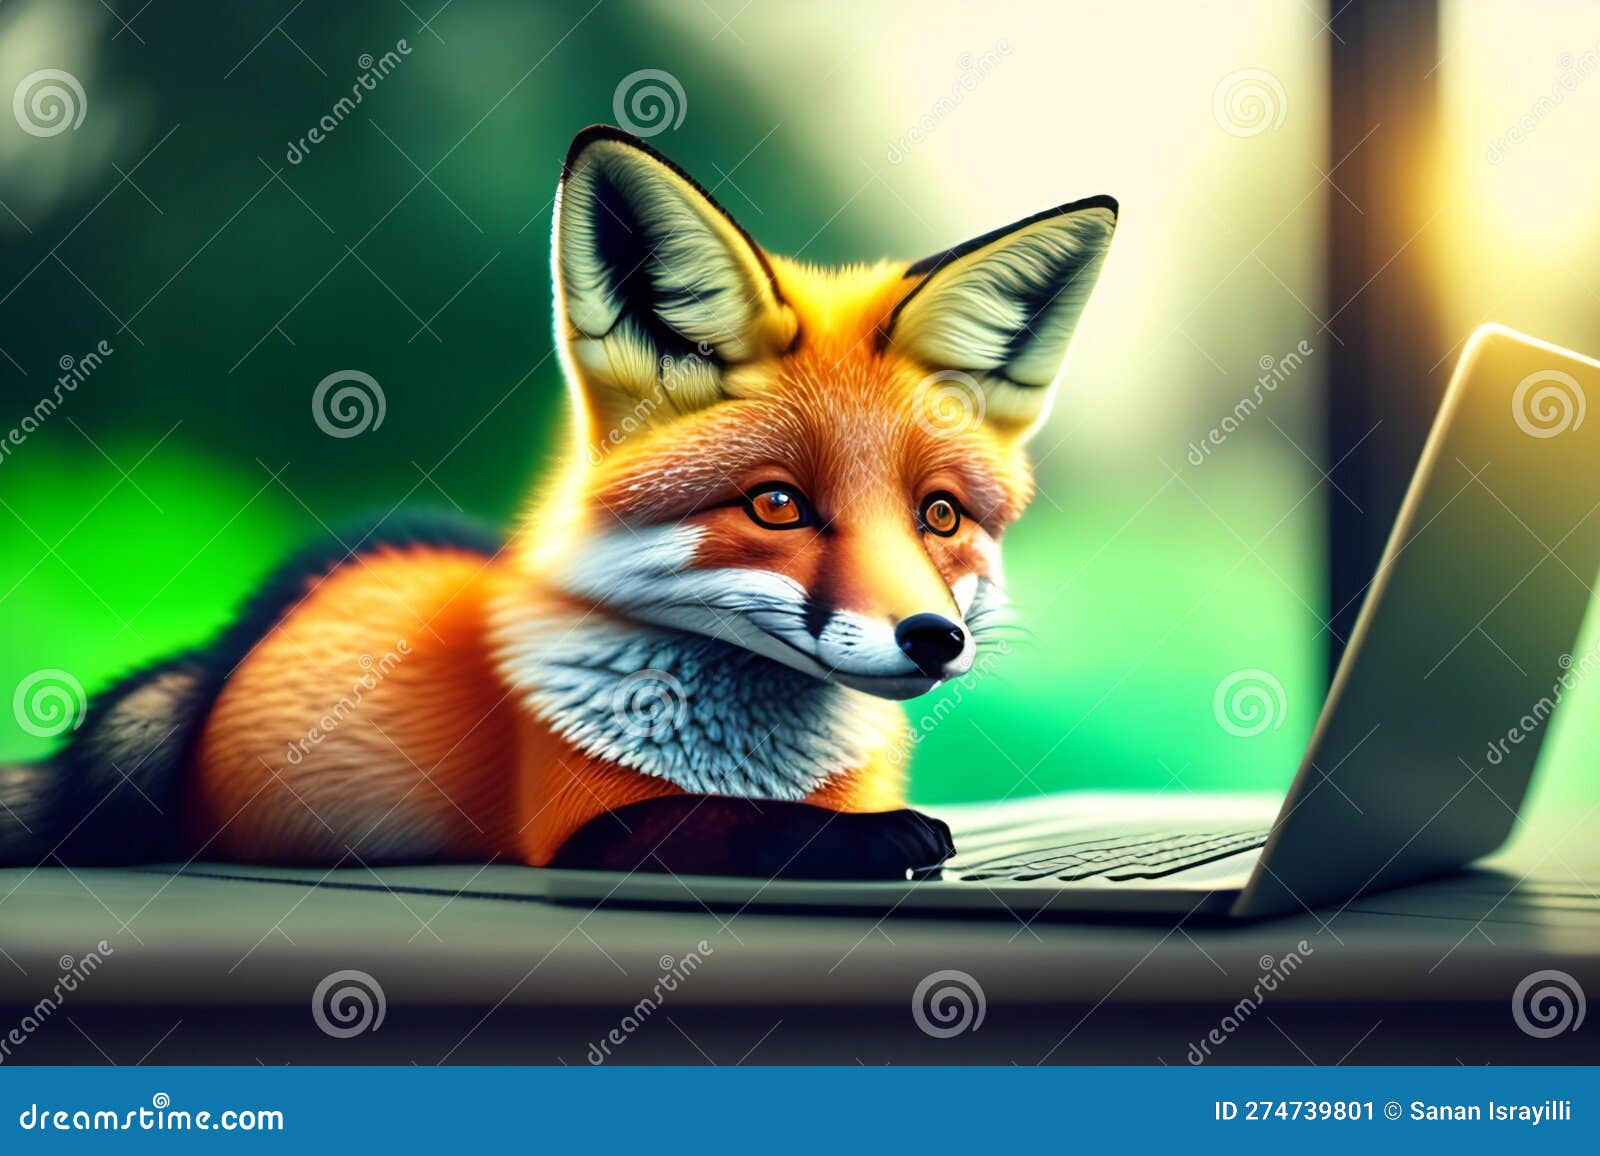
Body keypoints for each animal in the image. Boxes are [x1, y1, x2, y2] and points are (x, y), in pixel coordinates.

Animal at [0, 125, 1115, 879]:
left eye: (941, 516)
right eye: (775, 505)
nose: (932, 638)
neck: (763, 756)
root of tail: (250, 630)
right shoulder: (581, 824)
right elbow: (740, 824)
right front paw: (874, 835)